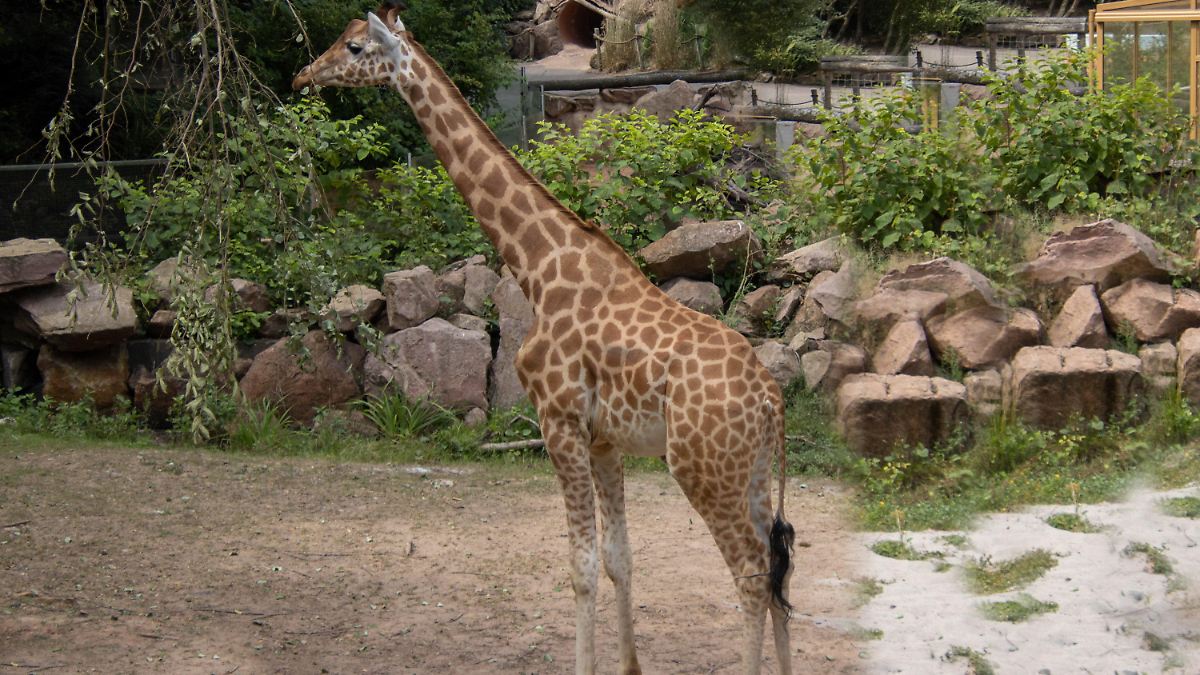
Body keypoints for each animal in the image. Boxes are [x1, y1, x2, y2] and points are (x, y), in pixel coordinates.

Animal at [294, 6, 795, 673]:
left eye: (354, 47)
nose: (303, 74)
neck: (537, 267)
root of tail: (770, 399)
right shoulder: (603, 438)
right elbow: (618, 558)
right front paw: (629, 665)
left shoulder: (557, 420)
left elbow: (580, 567)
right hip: (754, 471)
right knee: (780, 568)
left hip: (700, 467)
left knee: (749, 571)